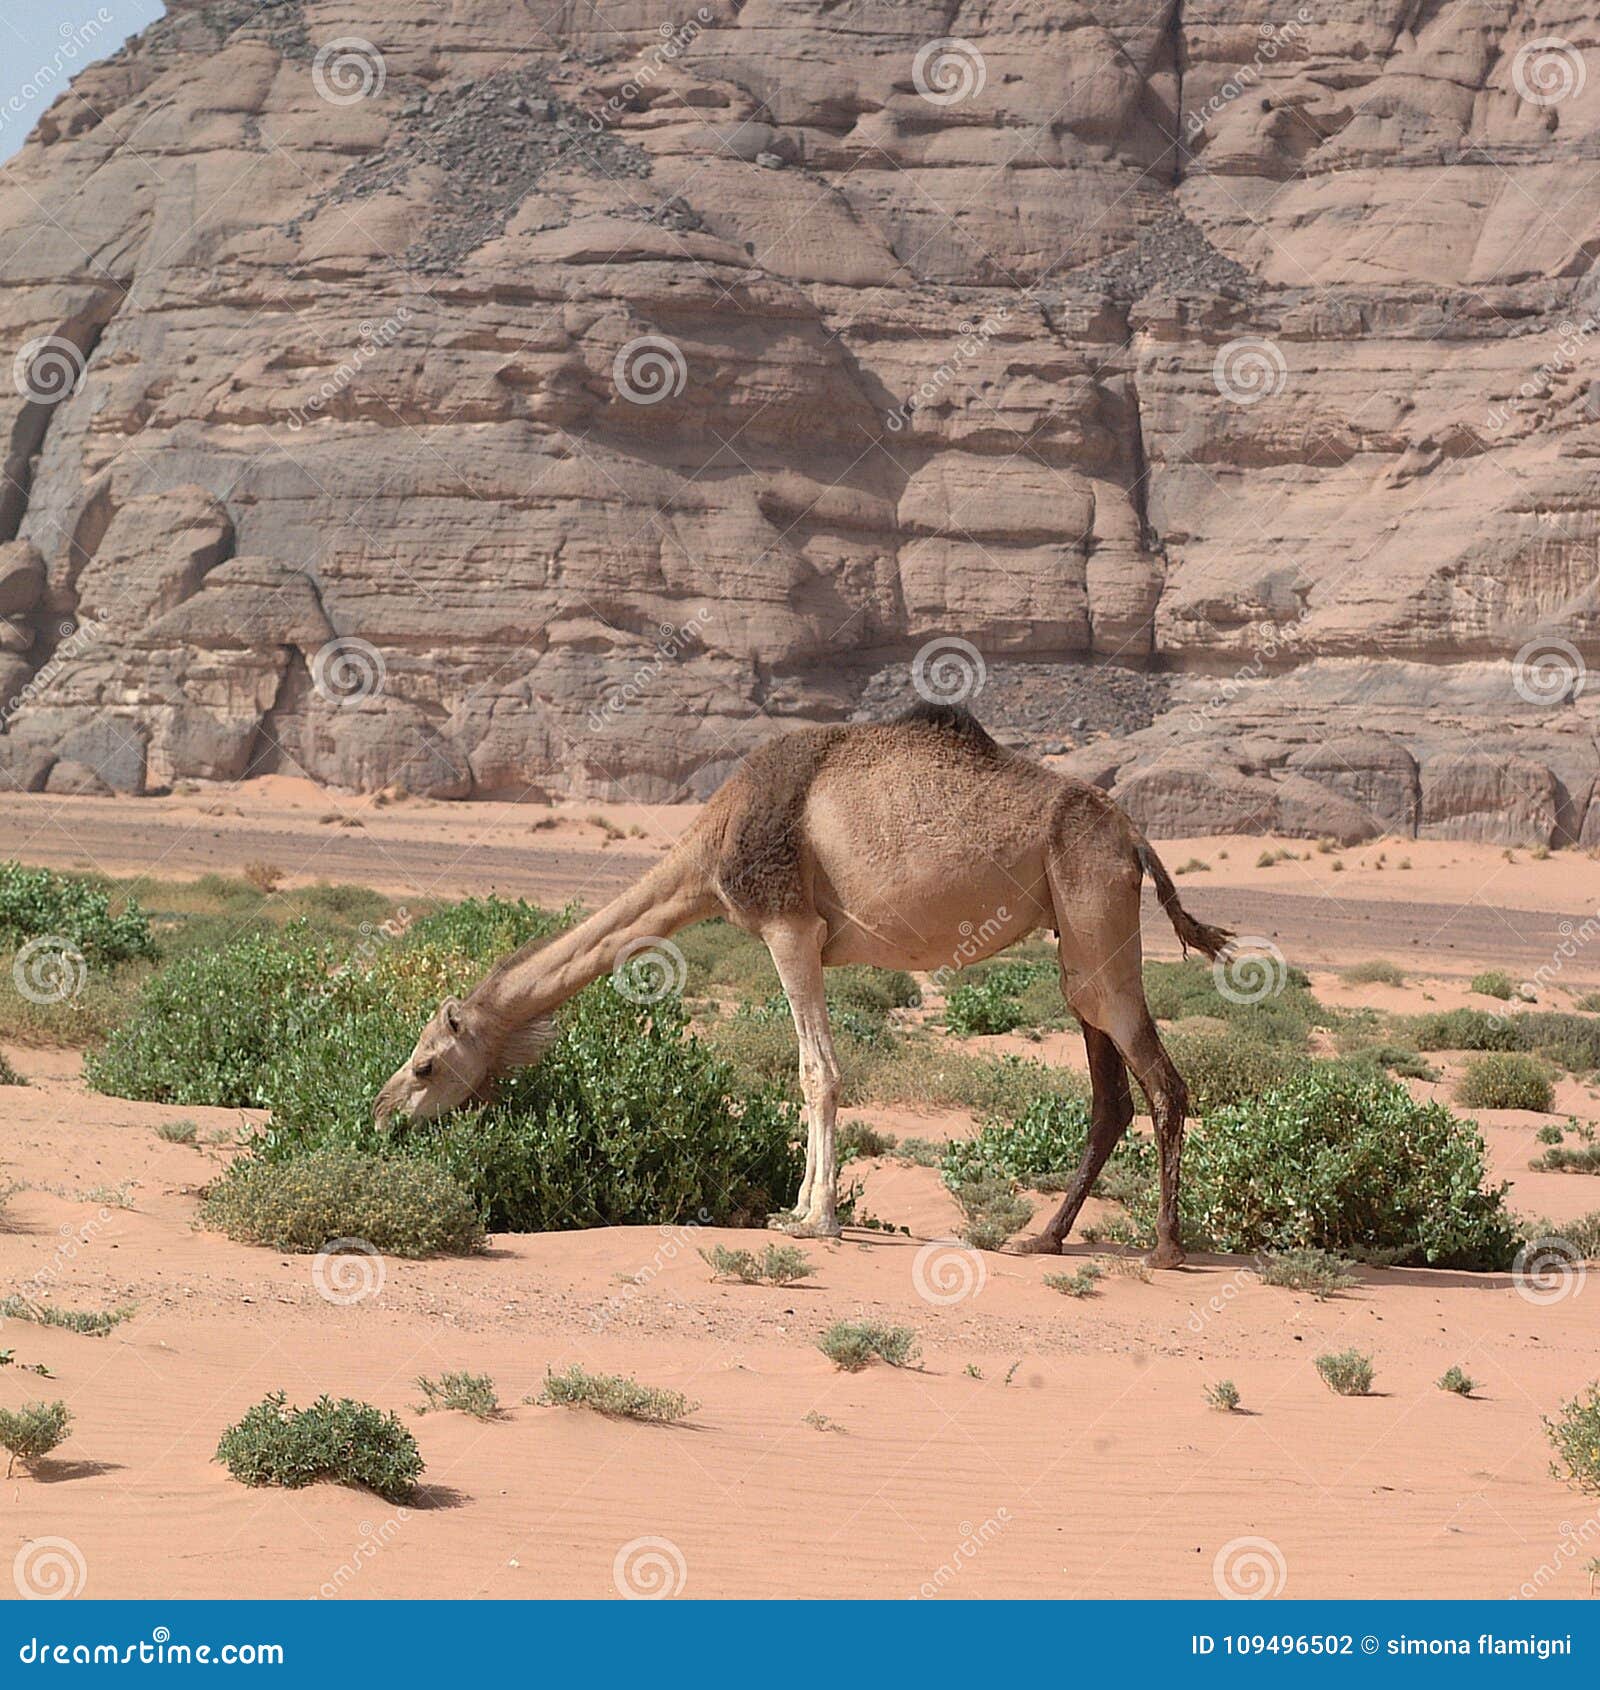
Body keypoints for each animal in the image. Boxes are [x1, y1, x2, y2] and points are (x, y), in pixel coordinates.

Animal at [373, 704, 1232, 1265]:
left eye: (425, 1064)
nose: (381, 1113)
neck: (713, 842)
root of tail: (1135, 835)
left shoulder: (790, 926)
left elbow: (816, 1070)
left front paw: (812, 1220)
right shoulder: (797, 935)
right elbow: (814, 1070)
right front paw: (800, 1207)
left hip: (1095, 914)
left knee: (1164, 1082)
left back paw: (1164, 1248)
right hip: (1075, 943)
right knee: (1109, 1093)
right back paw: (1041, 1237)